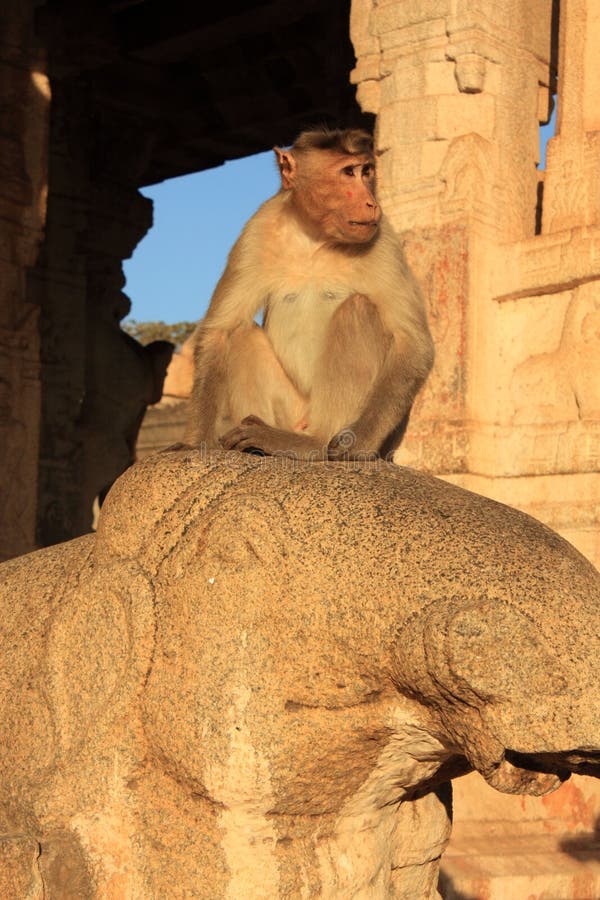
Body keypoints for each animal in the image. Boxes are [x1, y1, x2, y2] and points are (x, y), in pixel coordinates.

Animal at [184, 127, 434, 460]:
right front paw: (194, 441)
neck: (315, 238)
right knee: (241, 333)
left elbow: (413, 343)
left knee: (357, 309)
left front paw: (359, 443)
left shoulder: (383, 239)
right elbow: (220, 331)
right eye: (348, 172)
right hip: (292, 410)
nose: (371, 203)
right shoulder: (256, 230)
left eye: (367, 171)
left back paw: (314, 442)